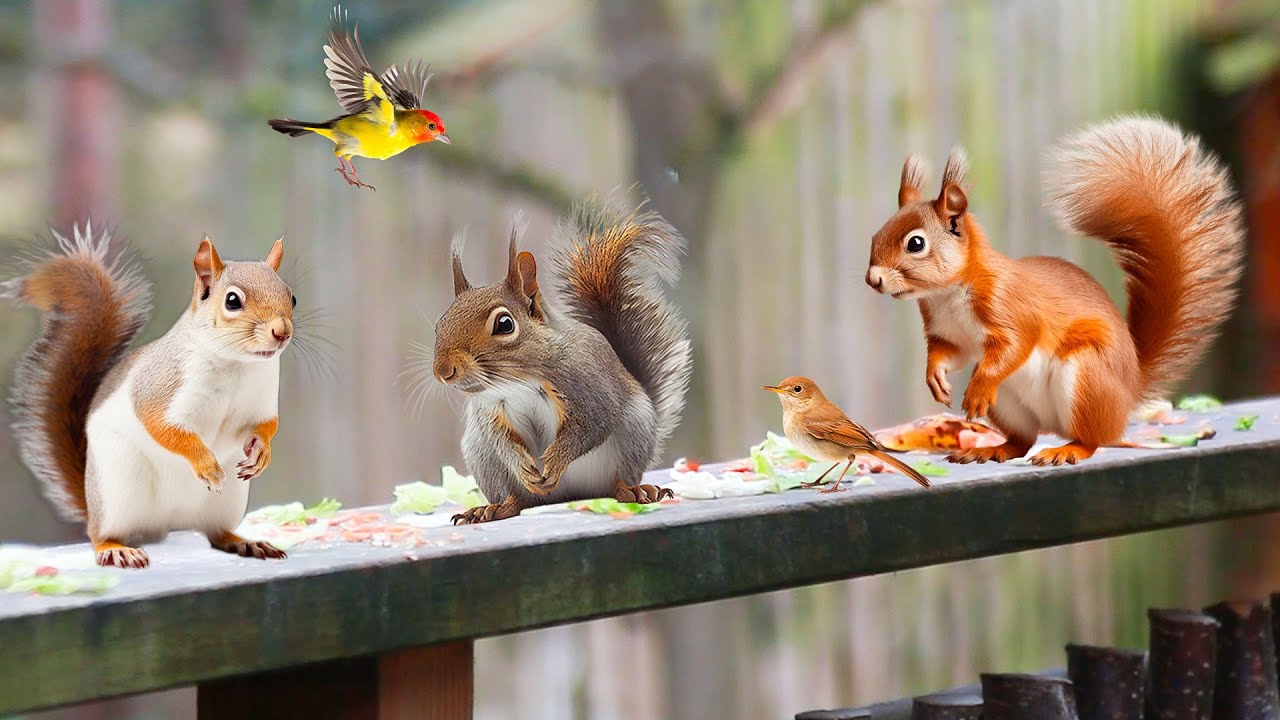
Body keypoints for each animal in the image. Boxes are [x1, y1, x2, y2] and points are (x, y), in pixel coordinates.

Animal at [4, 223, 297, 568]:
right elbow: (162, 426)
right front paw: (205, 463)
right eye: (232, 301)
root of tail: (169, 522)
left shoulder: (261, 403)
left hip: (226, 502)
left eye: (292, 297)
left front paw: (262, 452)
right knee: (99, 533)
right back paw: (115, 547)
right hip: (118, 488)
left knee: (217, 533)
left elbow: (266, 427)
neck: (237, 364)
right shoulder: (162, 388)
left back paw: (246, 543)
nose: (282, 332)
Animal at [431, 201, 693, 524]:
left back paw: (634, 491)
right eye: (439, 325)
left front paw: (555, 461)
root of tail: (569, 496)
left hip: (635, 430)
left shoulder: (590, 384)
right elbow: (501, 440)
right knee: (514, 497)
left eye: (505, 324)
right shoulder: (489, 411)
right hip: (481, 454)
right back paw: (493, 508)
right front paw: (523, 467)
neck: (518, 381)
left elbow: (591, 425)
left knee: (619, 481)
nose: (443, 371)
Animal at [865, 115, 1244, 466]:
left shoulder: (1009, 304)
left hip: (1086, 378)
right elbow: (949, 354)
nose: (873, 279)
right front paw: (935, 378)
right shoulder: (948, 333)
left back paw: (1067, 449)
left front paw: (977, 388)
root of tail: (1128, 392)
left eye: (916, 244)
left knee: (1092, 439)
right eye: (875, 235)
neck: (946, 294)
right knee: (1022, 441)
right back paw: (993, 449)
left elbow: (1017, 342)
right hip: (1010, 405)